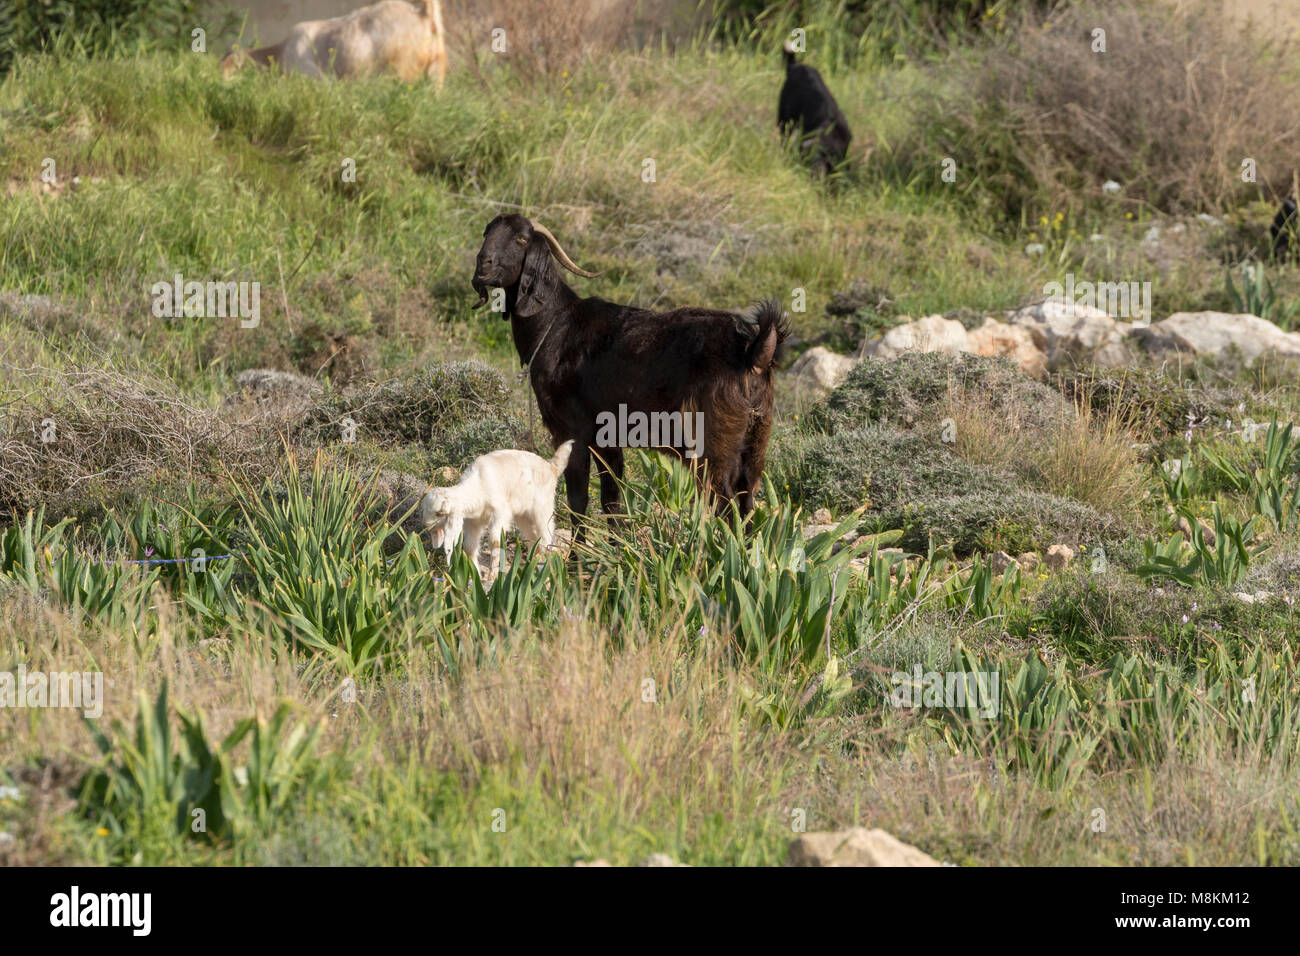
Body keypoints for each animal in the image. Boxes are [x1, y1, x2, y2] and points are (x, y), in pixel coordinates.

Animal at [470, 215, 788, 529]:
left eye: (521, 238)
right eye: (487, 231)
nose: (483, 264)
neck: (555, 324)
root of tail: (753, 350)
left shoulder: (572, 431)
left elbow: (578, 503)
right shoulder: (607, 440)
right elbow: (611, 501)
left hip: (712, 444)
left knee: (726, 503)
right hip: (755, 442)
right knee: (746, 503)